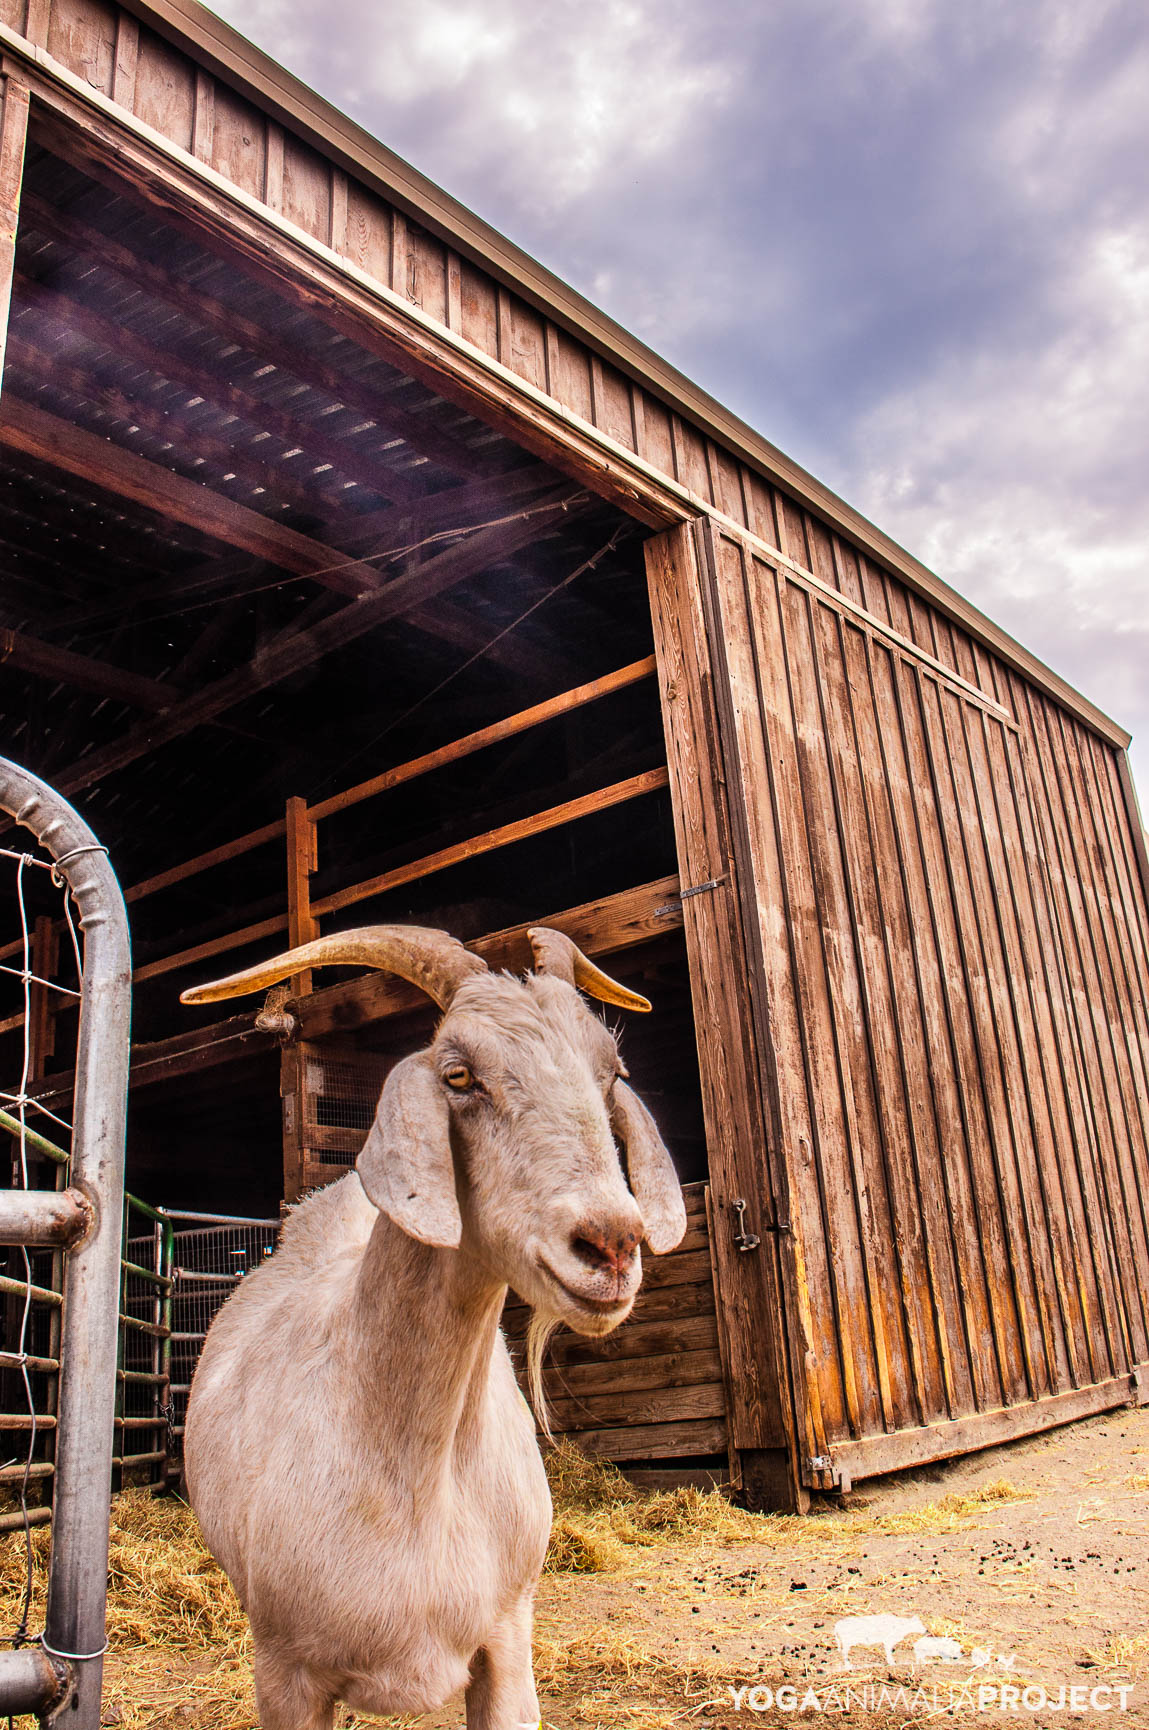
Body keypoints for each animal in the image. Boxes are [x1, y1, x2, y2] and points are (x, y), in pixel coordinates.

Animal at [180, 924, 686, 1730]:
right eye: (457, 1074)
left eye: (611, 1073)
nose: (609, 1245)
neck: (411, 1472)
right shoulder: (285, 1672)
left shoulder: (507, 1642)